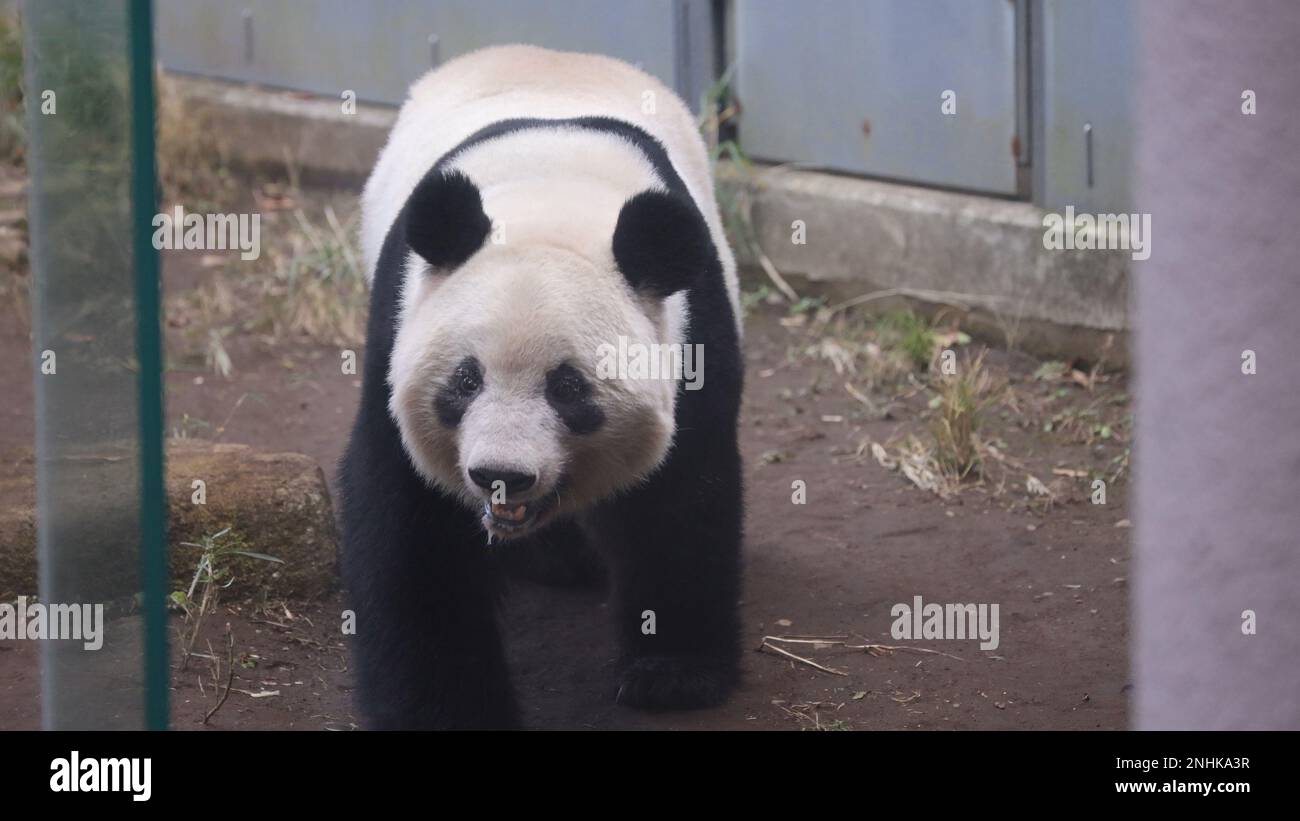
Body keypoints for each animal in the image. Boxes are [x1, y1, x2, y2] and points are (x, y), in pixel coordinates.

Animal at [339, 44, 743, 730]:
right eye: (465, 380)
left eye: (569, 389)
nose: (501, 476)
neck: (551, 205)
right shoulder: (398, 326)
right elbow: (410, 526)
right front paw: (448, 709)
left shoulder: (692, 338)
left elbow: (684, 497)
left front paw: (670, 674)